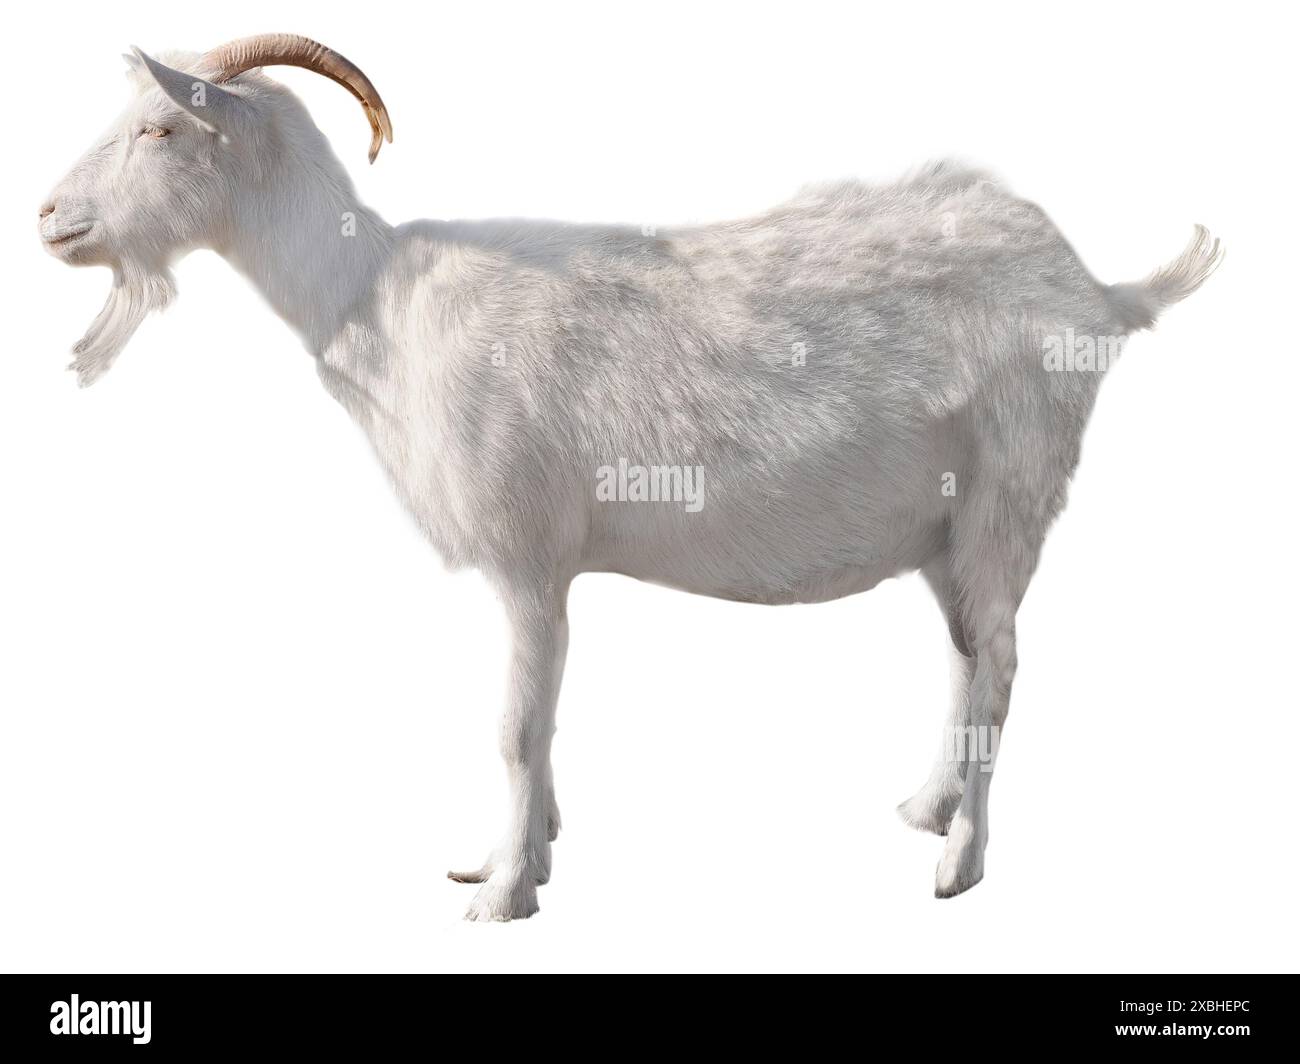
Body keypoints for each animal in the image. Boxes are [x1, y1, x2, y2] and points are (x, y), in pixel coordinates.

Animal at [38, 34, 1222, 920]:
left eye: (157, 128)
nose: (50, 218)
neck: (377, 302)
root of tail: (1095, 289)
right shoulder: (552, 572)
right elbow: (544, 720)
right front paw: (519, 857)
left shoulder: (525, 556)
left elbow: (515, 726)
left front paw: (499, 894)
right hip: (944, 531)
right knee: (967, 657)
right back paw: (925, 807)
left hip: (1009, 495)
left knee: (1006, 666)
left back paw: (956, 864)